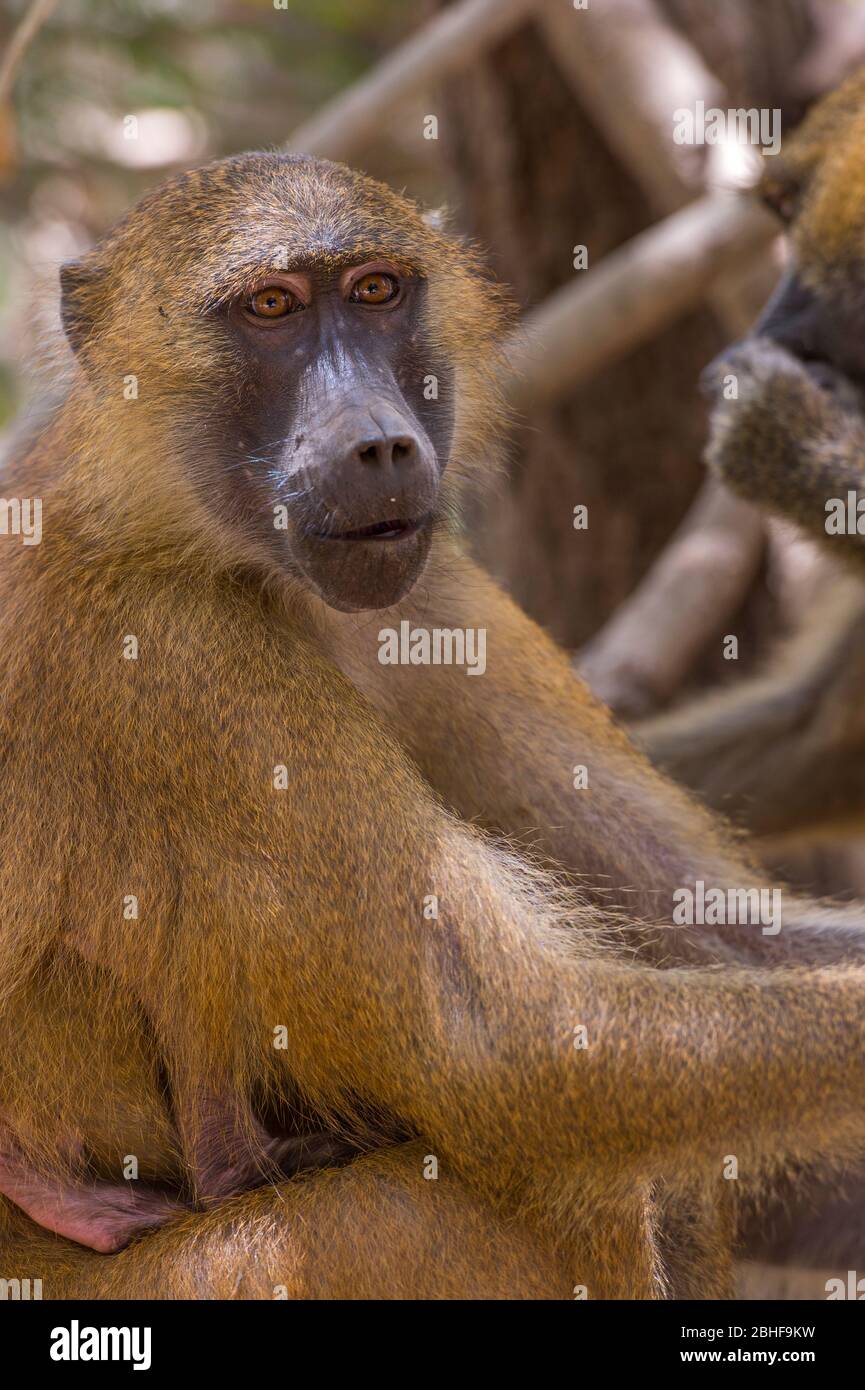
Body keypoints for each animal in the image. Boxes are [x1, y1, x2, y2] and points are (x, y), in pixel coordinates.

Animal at [3, 152, 865, 1299]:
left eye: (376, 291)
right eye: (270, 308)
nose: (378, 444)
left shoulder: (430, 601)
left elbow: (717, 937)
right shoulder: (169, 657)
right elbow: (499, 1049)